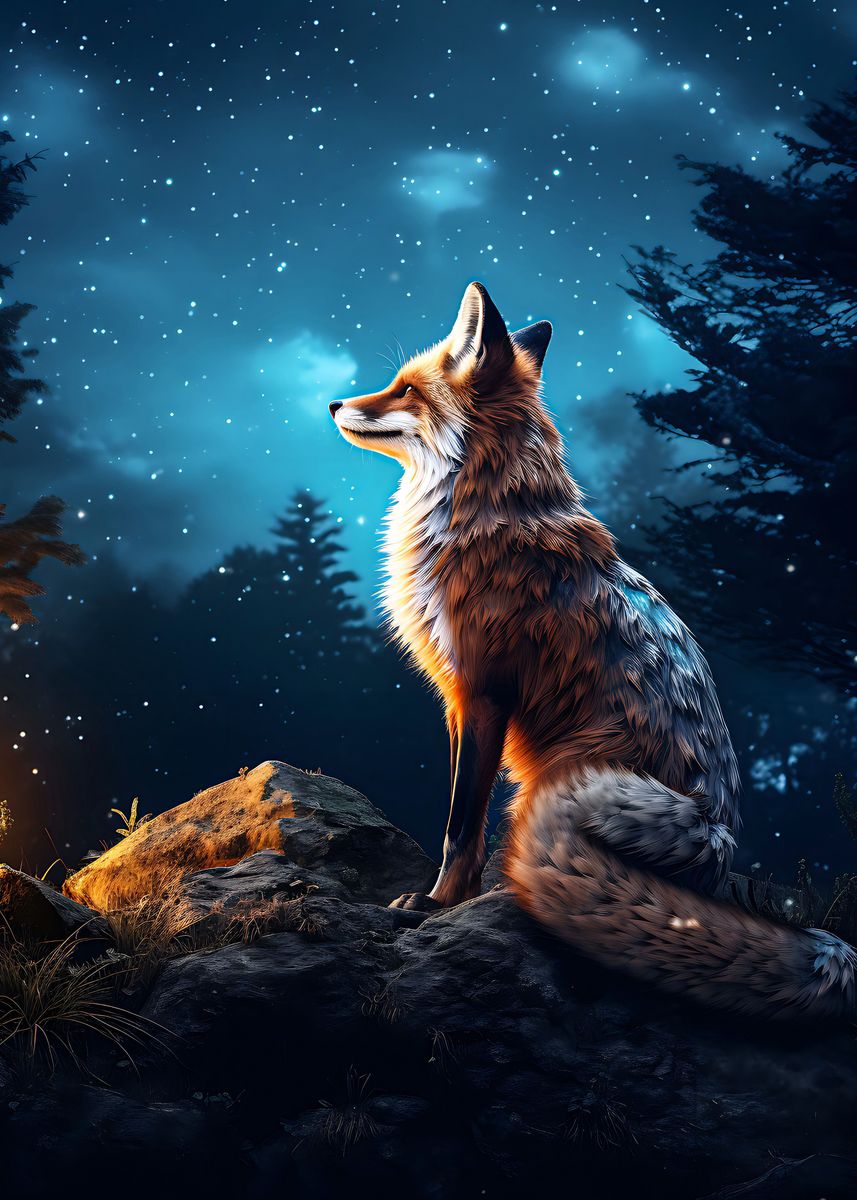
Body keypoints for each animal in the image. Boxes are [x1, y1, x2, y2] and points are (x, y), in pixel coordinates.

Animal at [329, 281, 856, 1020]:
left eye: (404, 389)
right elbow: (460, 820)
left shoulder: (484, 691)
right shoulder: (459, 699)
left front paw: (435, 905)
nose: (331, 404)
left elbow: (461, 824)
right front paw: (447, 899)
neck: (482, 514)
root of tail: (718, 844)